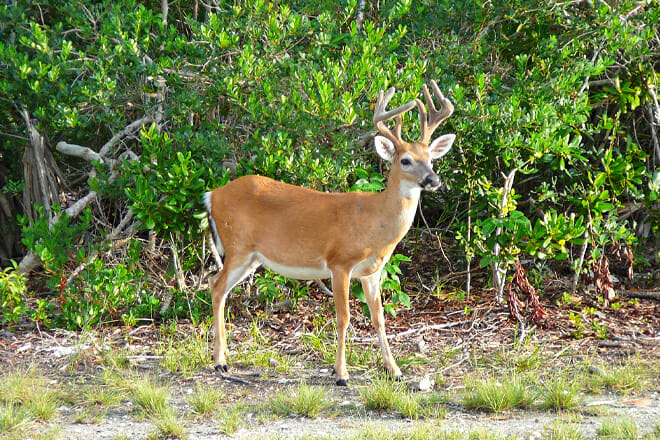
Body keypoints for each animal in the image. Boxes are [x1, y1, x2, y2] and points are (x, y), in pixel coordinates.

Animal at [203, 80, 455, 386]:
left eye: (431, 159)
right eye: (405, 160)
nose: (433, 180)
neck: (374, 222)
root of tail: (212, 195)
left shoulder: (372, 272)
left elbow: (379, 317)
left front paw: (394, 370)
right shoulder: (340, 262)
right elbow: (343, 317)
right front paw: (341, 373)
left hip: (251, 257)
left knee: (217, 286)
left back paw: (223, 358)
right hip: (237, 246)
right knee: (216, 285)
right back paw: (219, 362)